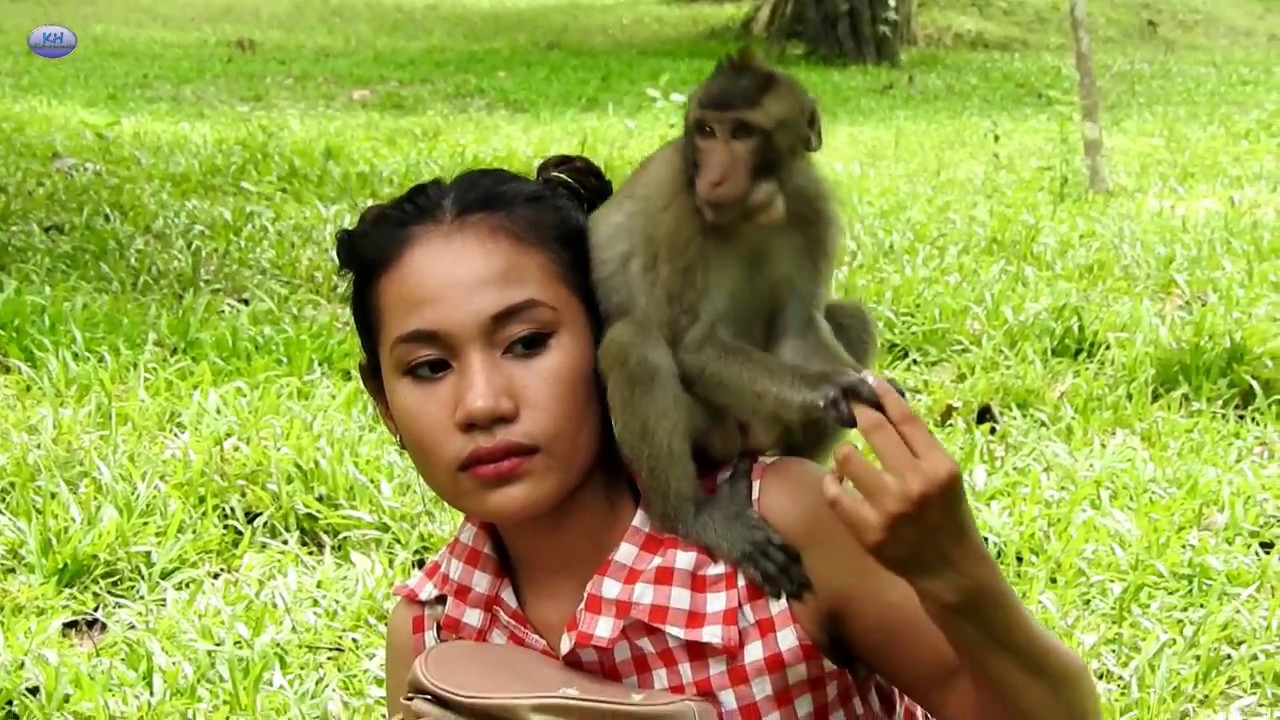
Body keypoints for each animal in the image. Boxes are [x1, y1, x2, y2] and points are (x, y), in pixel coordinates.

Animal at [585, 47, 902, 601]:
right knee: (632, 342)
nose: (713, 177)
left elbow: (801, 330)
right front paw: (834, 388)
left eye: (742, 133)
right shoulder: (679, 207)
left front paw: (853, 389)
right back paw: (691, 514)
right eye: (707, 131)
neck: (758, 210)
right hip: (711, 434)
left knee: (850, 318)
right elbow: (691, 347)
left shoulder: (808, 202)